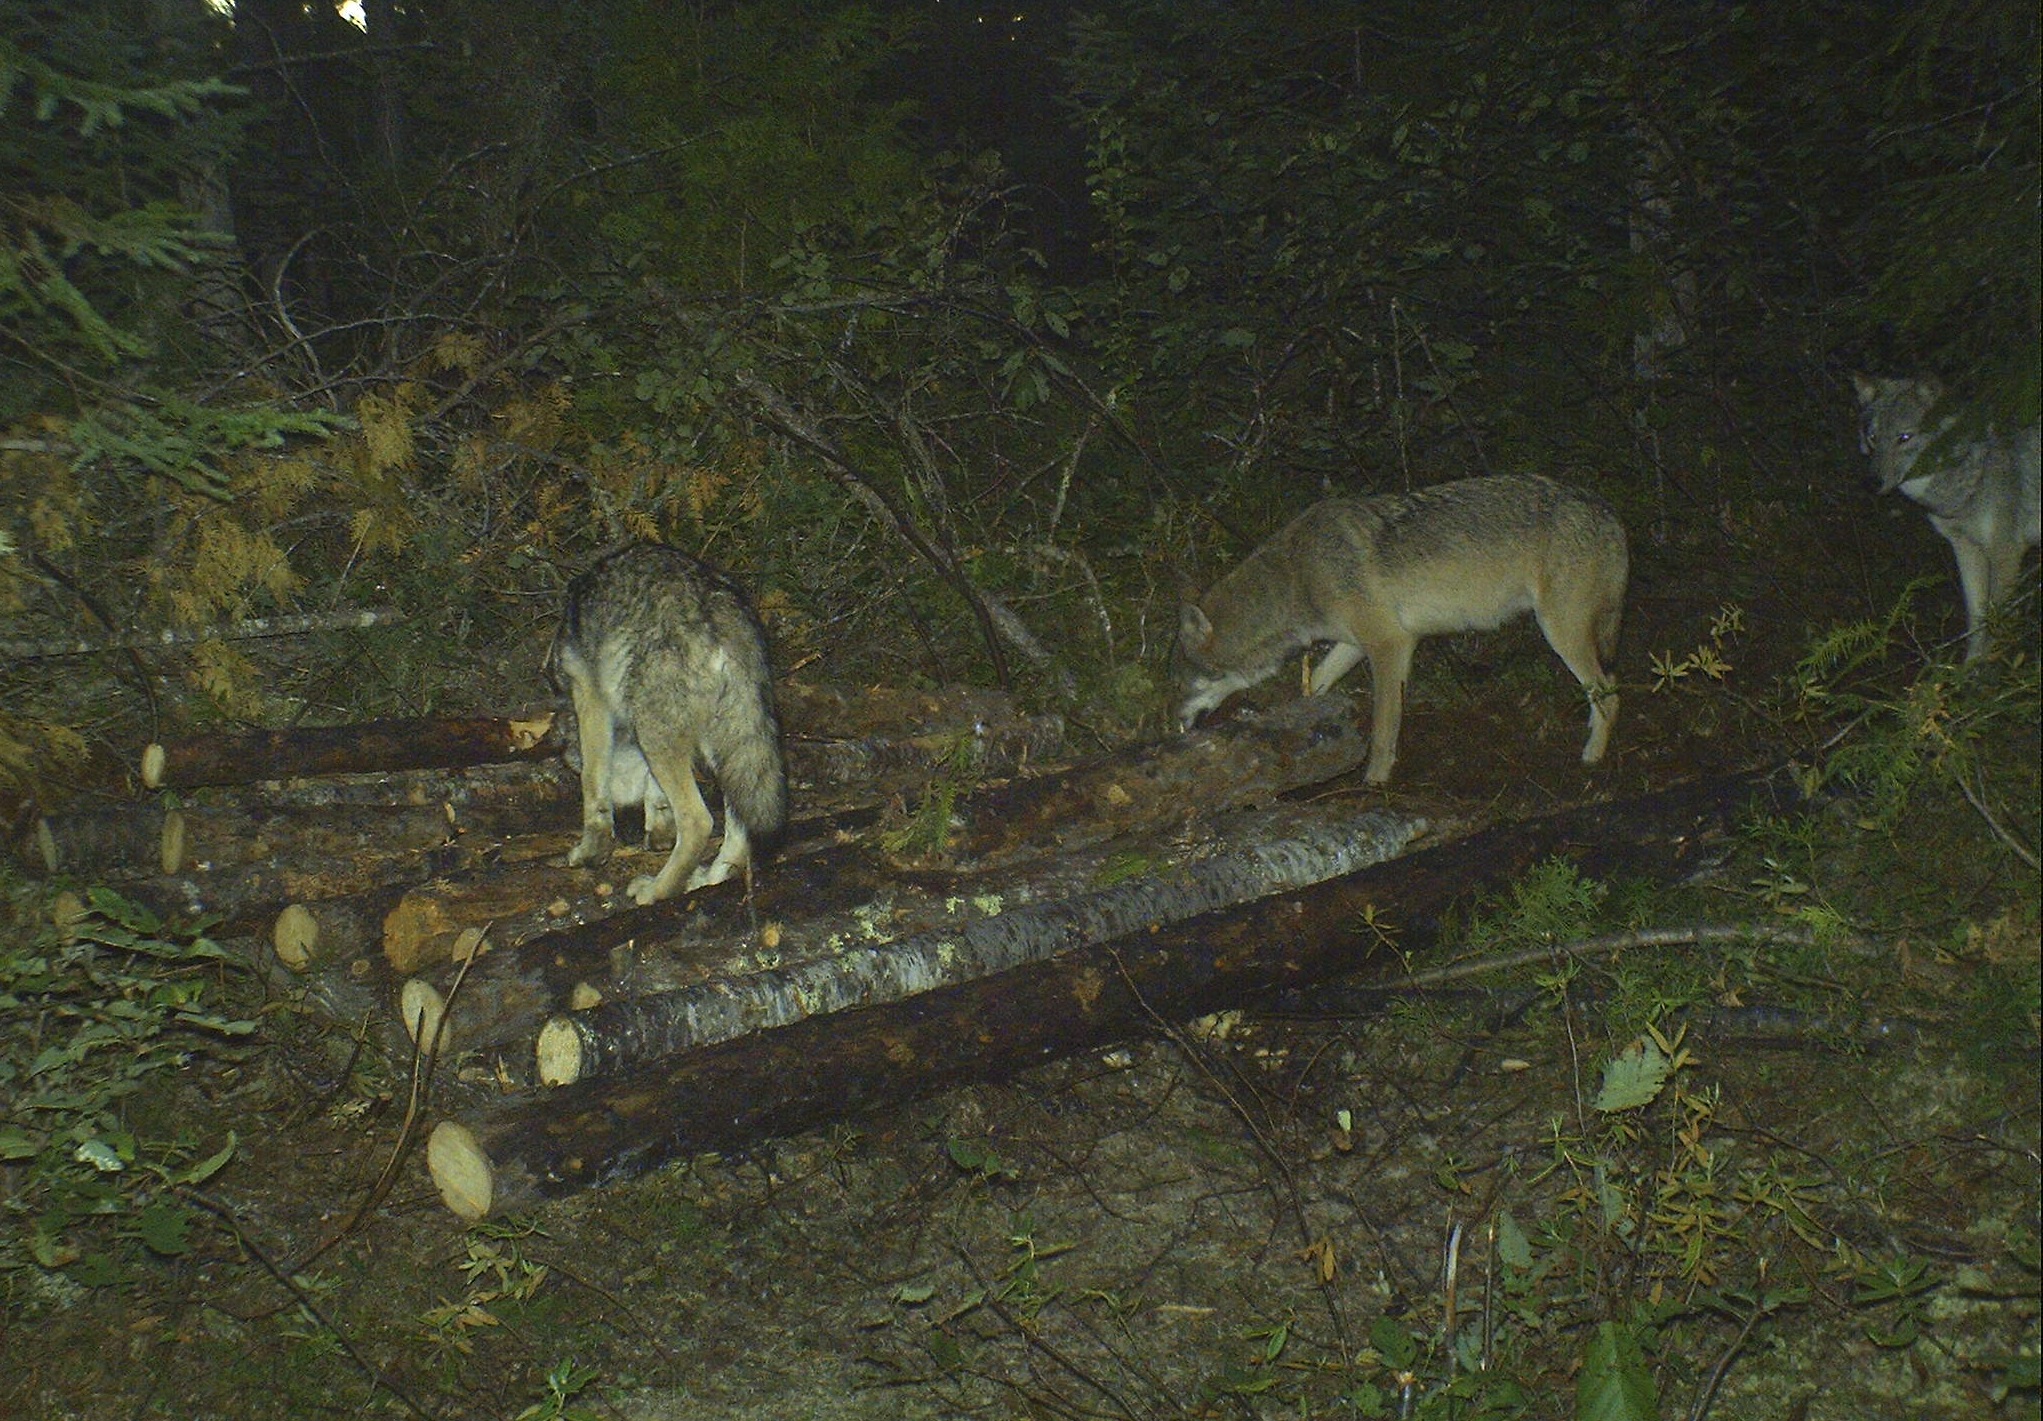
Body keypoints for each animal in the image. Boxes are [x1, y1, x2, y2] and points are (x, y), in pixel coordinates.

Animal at [548, 544, 789, 904]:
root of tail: (721, 615)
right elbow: (654, 790)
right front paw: (658, 825)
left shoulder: (590, 696)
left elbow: (593, 784)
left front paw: (592, 850)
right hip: (723, 745)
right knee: (739, 822)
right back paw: (710, 878)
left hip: (659, 734)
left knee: (698, 821)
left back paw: (658, 890)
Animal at [1177, 474, 1628, 784]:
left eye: (1182, 684)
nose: (1177, 725)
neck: (1297, 579)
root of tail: (1609, 513)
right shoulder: (1355, 643)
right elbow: (1316, 683)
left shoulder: (1391, 644)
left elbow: (1383, 726)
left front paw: (1375, 780)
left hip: (1559, 632)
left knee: (1611, 694)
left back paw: (1592, 756)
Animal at [1852, 375, 2041, 661]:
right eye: (1873, 438)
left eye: (1904, 437)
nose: (1872, 483)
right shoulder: (1965, 549)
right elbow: (1976, 619)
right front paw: (1969, 667)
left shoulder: (2006, 553)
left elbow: (1994, 619)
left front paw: (1988, 667)